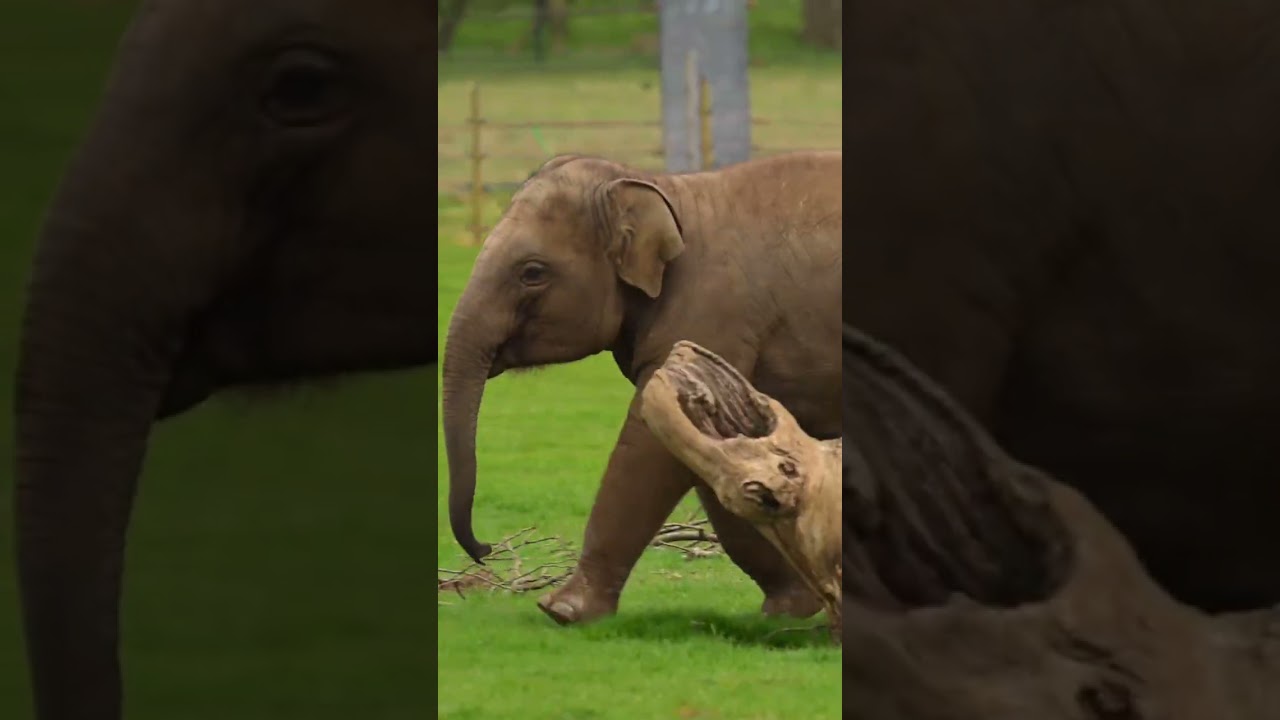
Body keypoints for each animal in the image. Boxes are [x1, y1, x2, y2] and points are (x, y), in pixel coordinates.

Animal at [441, 151, 842, 626]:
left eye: (532, 273)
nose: (484, 550)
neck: (666, 190)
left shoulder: (710, 313)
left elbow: (650, 447)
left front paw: (562, 611)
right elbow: (700, 448)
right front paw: (790, 607)